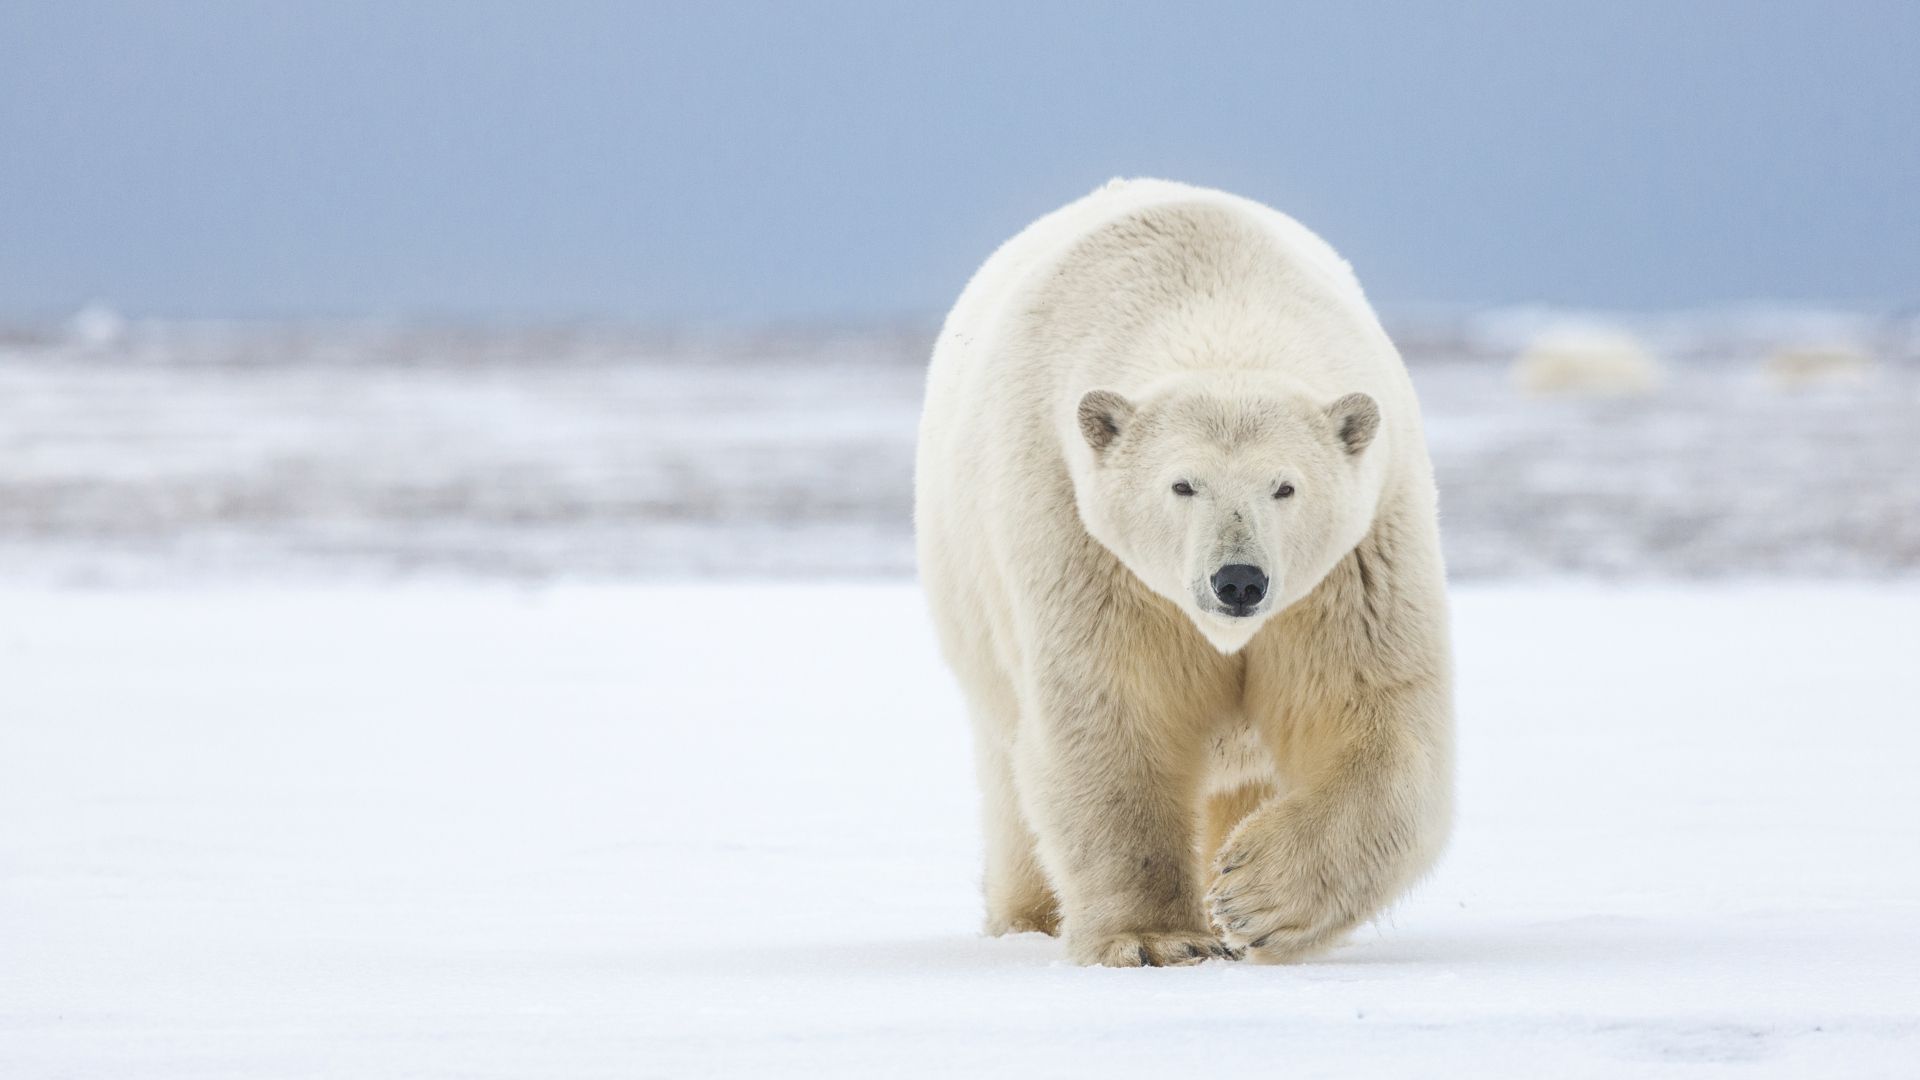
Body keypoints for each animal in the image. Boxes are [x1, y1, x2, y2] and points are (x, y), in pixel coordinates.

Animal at [914, 178, 1454, 967]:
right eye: (1182, 484)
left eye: (1285, 486)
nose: (1239, 581)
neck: (1215, 298)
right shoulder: (1083, 539)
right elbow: (1114, 711)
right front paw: (1154, 937)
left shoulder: (1356, 561)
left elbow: (1371, 710)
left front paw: (1252, 896)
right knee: (1012, 776)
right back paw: (1027, 918)